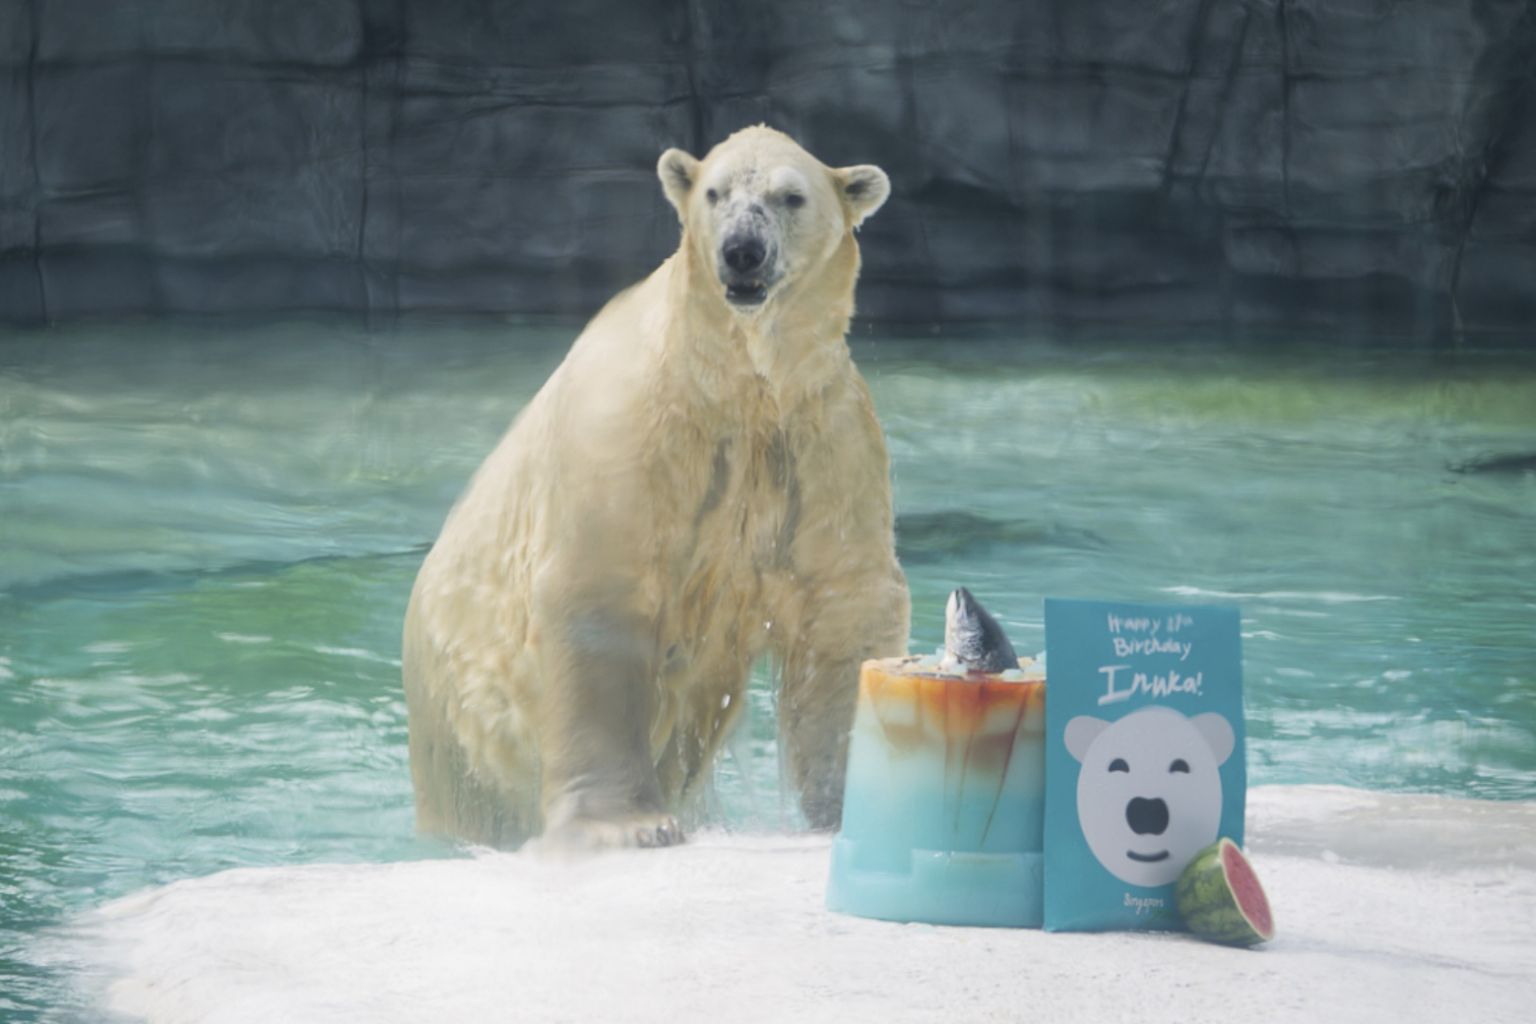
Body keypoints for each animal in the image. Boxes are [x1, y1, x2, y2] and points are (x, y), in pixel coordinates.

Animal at [402, 126, 911, 852]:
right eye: (715, 192)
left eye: (791, 196)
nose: (742, 251)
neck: (734, 385)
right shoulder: (632, 428)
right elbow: (601, 590)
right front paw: (628, 826)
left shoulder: (820, 437)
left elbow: (844, 603)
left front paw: (852, 811)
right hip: (455, 737)